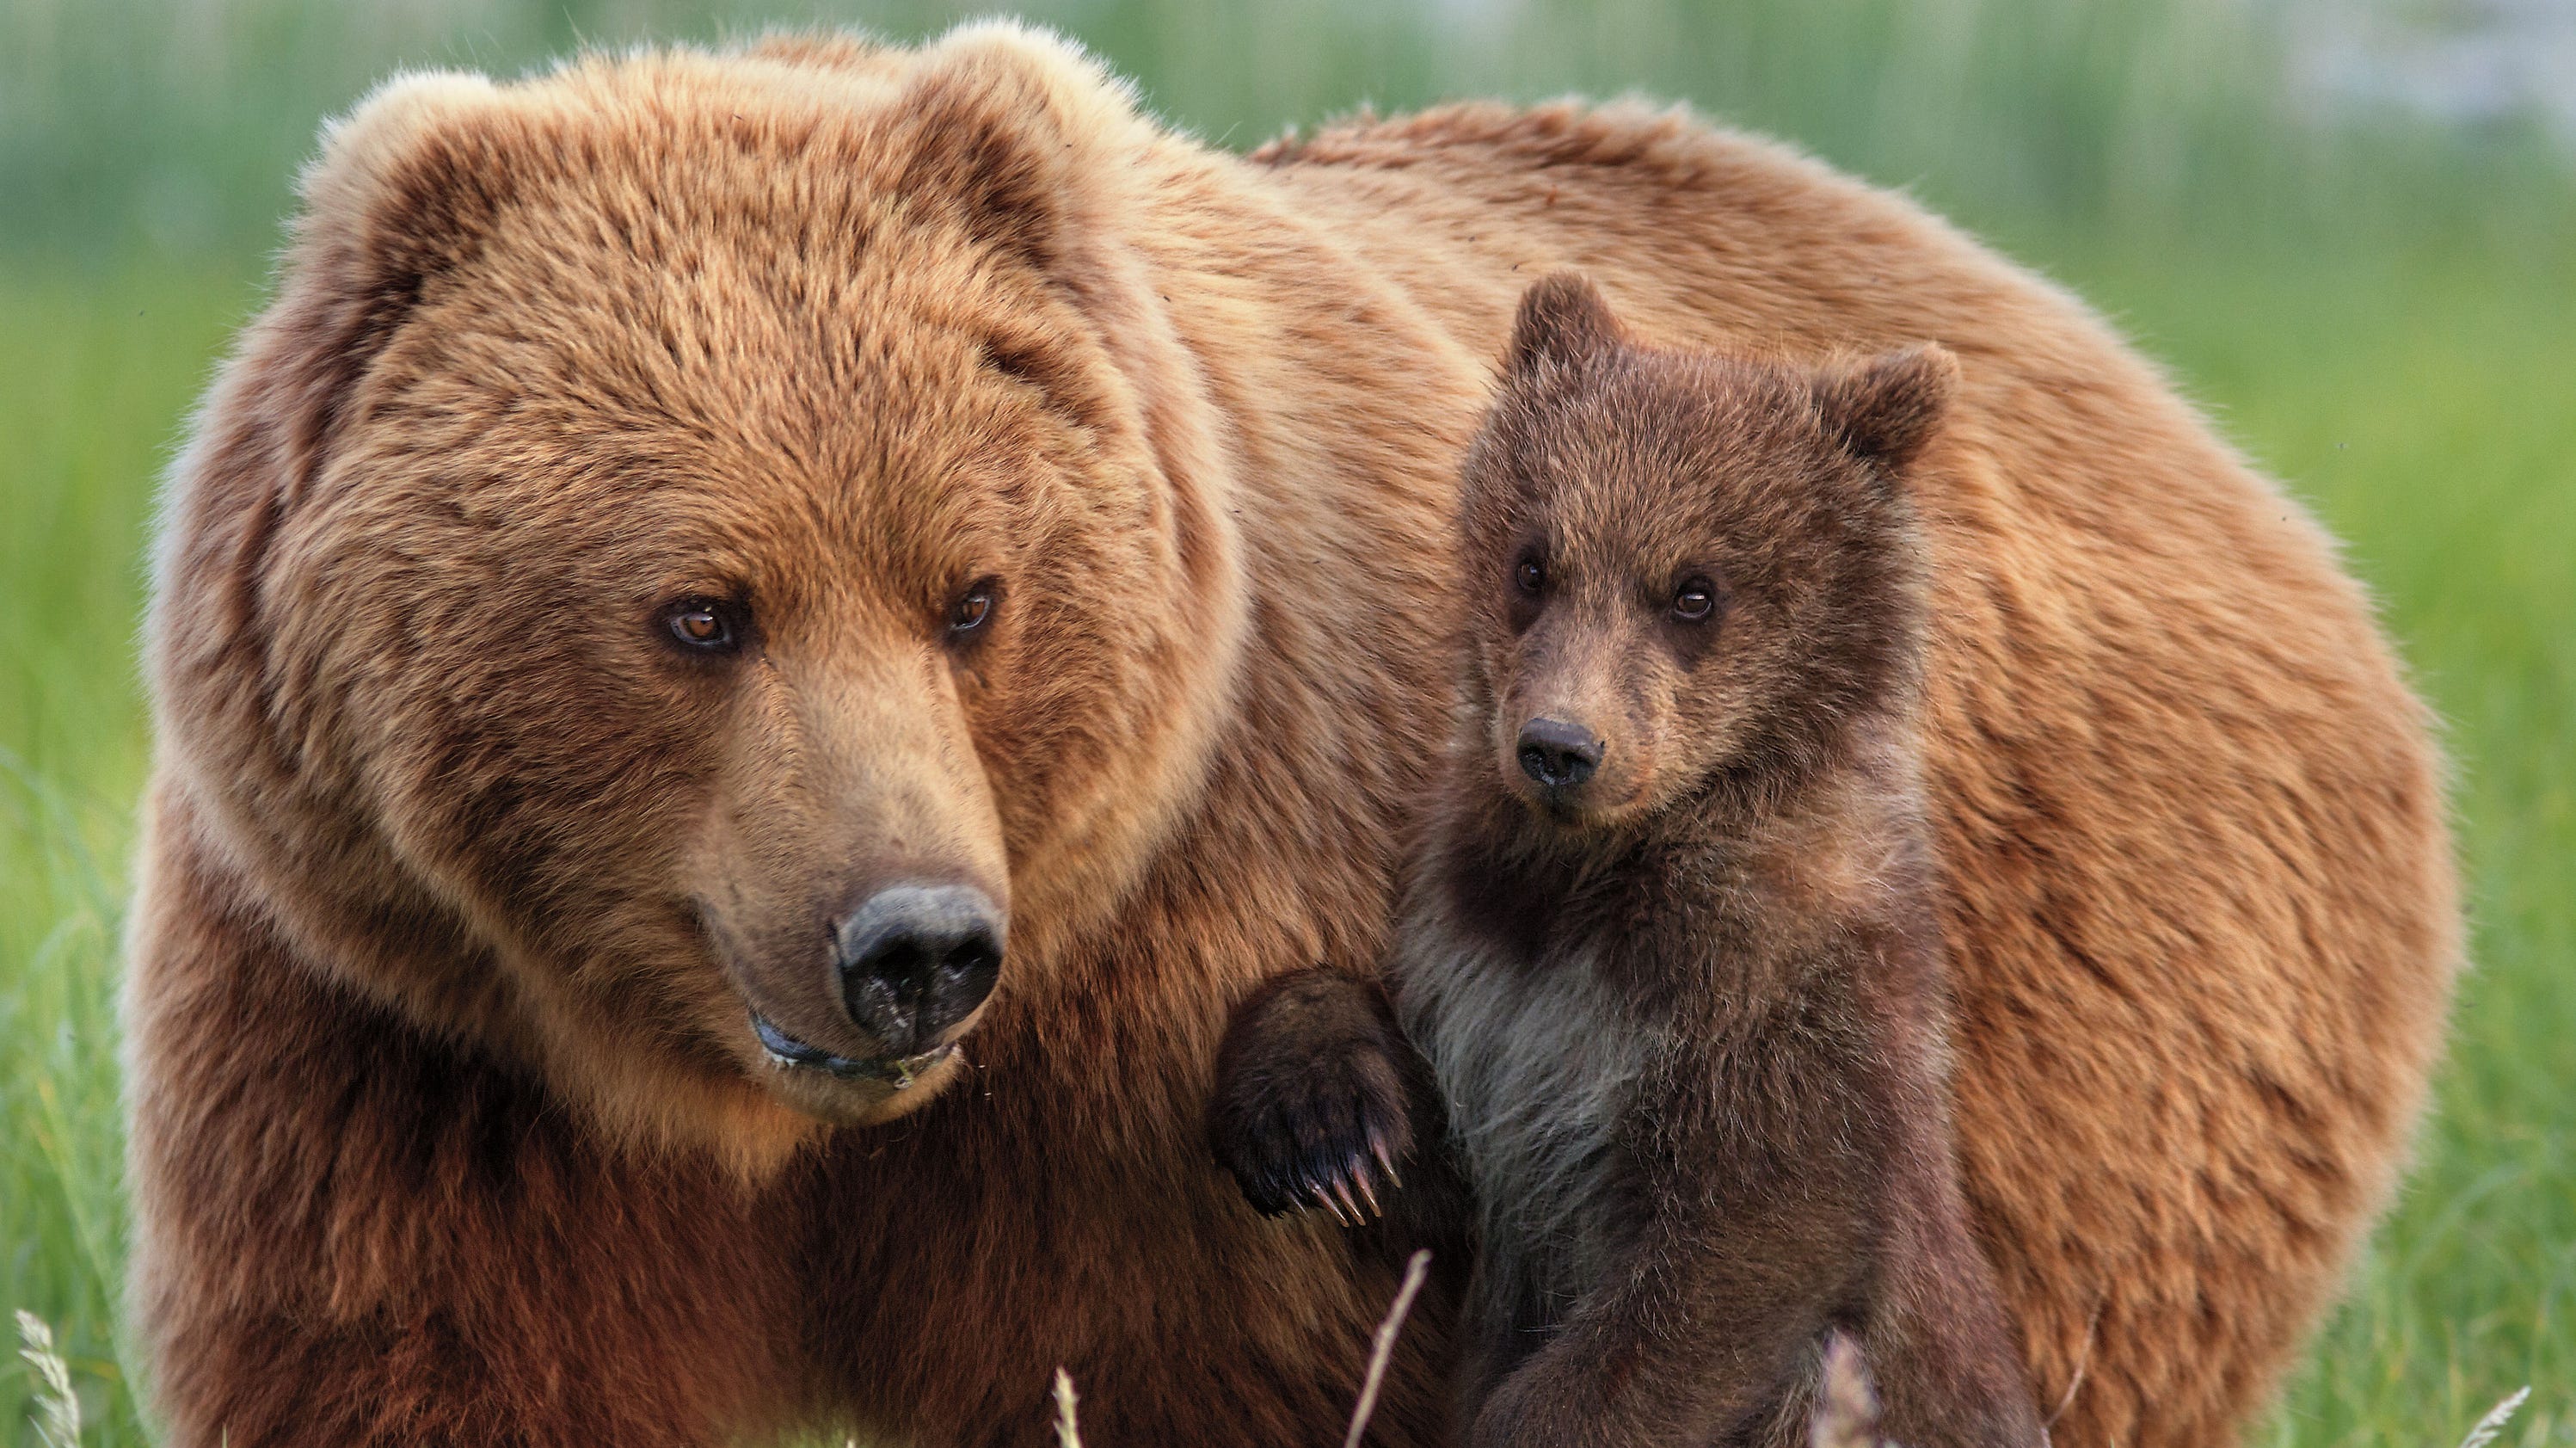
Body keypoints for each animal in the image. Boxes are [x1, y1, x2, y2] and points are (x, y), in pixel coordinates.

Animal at [1210, 273, 2045, 1448]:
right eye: (1533, 563)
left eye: (1694, 590)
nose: (1559, 747)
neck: (1596, 883)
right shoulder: (1492, 987)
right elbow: (1437, 1167)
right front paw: (1321, 1122)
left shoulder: (1773, 997)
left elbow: (1733, 1262)